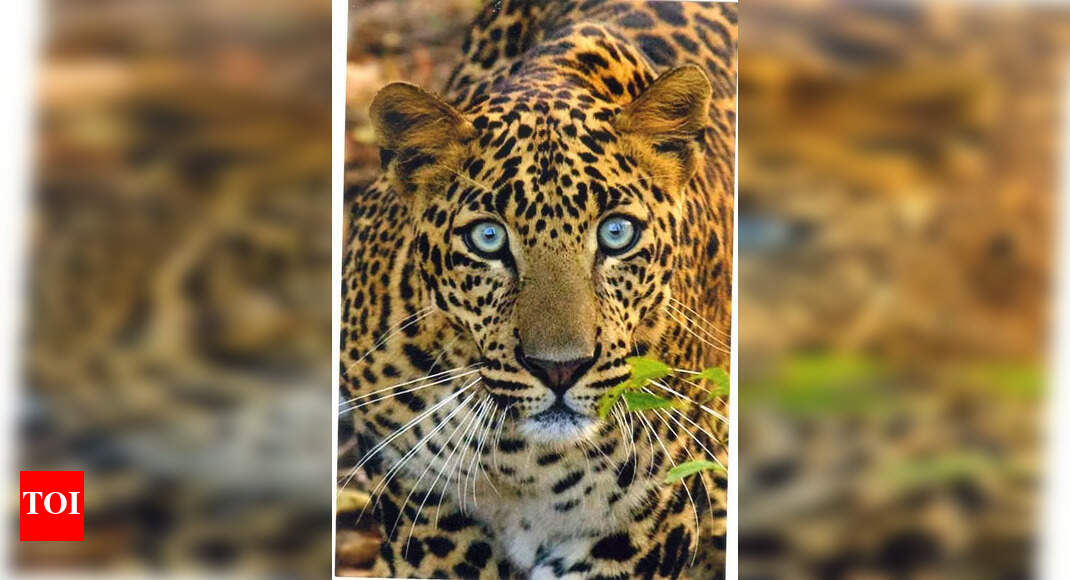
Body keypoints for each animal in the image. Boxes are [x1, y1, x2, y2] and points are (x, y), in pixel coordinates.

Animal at [339, 1, 736, 578]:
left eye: (617, 233)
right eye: (487, 238)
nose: (560, 369)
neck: (526, 461)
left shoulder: (648, 520)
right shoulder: (421, 502)